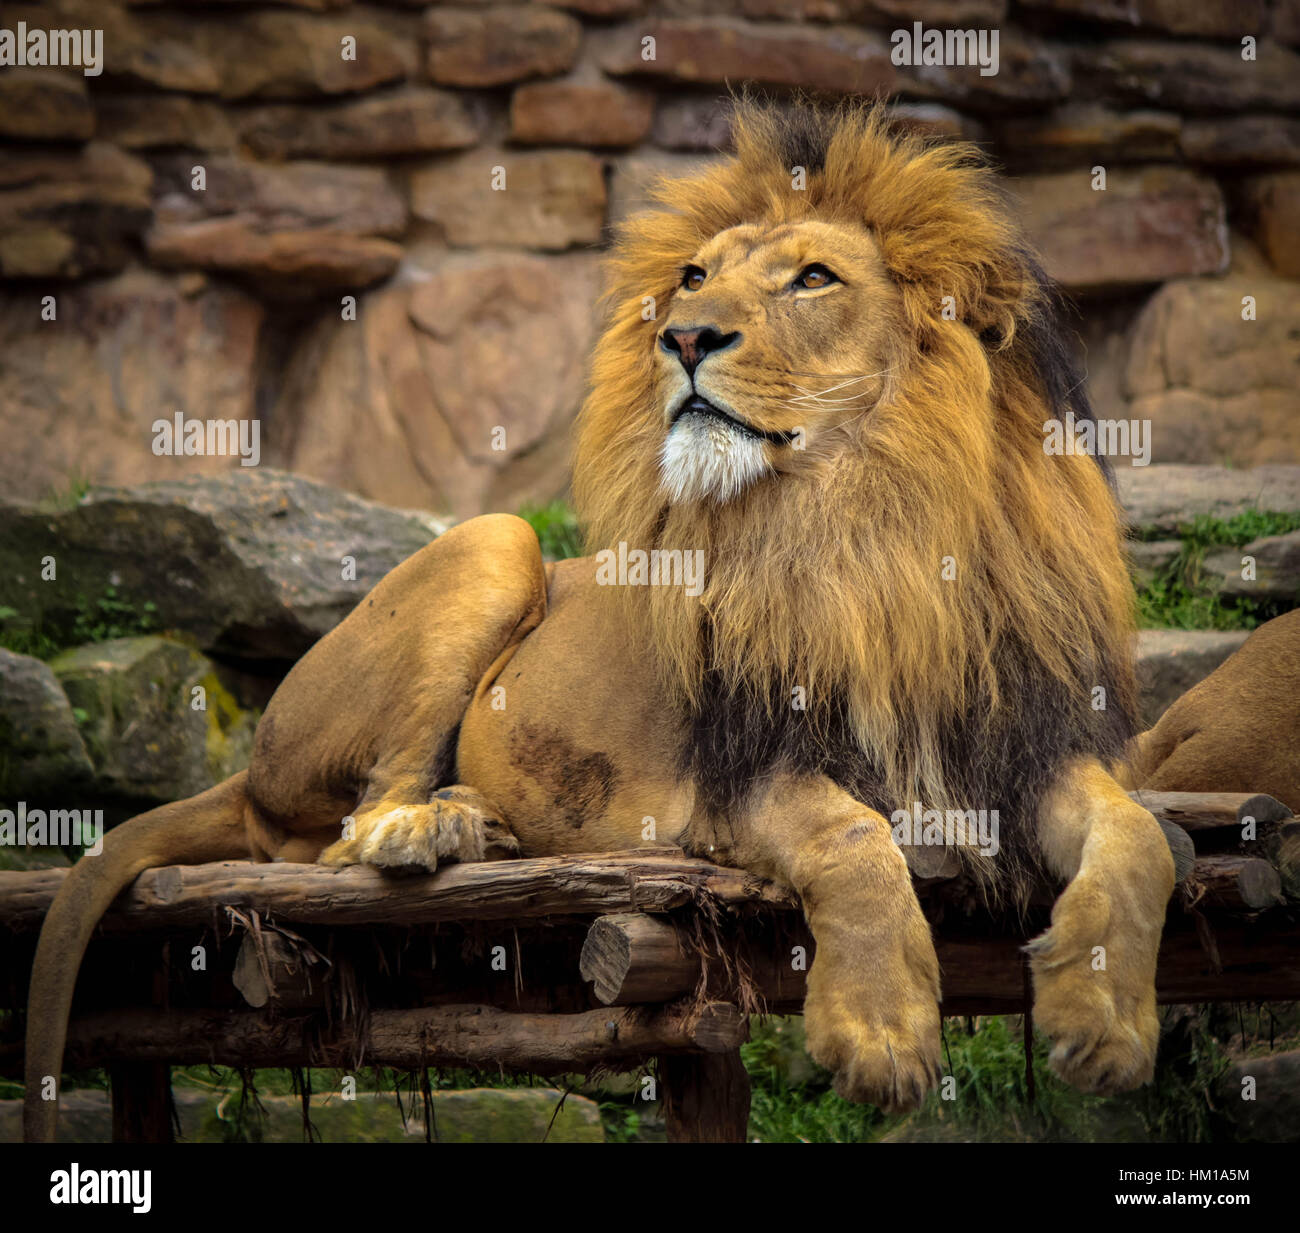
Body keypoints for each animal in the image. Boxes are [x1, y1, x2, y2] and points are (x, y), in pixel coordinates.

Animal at [24, 101, 1176, 1142]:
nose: (683, 336)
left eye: (814, 278)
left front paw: (1106, 1022)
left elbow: (1140, 837)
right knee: (333, 843)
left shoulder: (1019, 744)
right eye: (696, 277)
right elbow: (852, 837)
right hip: (495, 542)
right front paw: (879, 1034)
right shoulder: (743, 772)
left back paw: (473, 821)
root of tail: (246, 764)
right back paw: (432, 827)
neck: (862, 526)